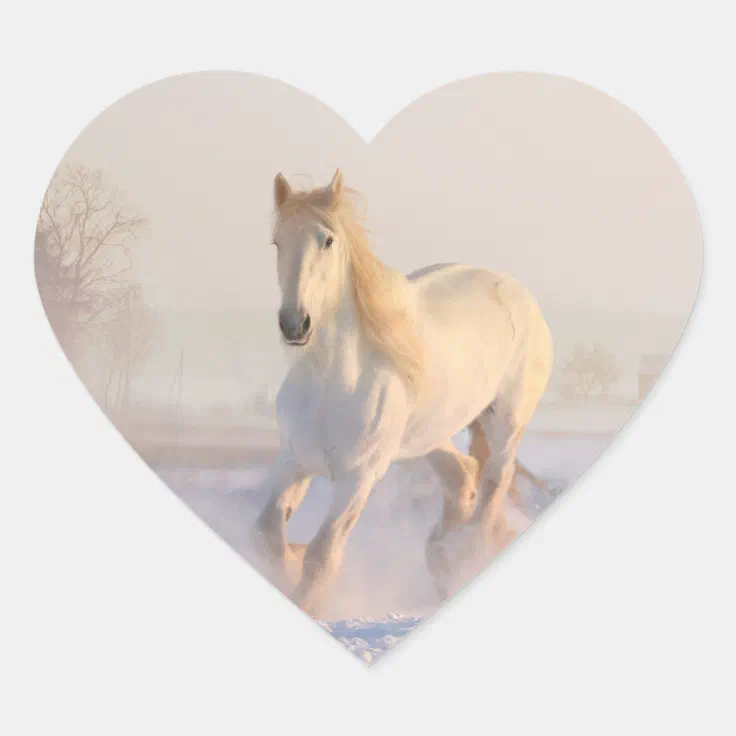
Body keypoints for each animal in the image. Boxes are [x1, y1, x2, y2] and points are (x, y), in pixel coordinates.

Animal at [249, 169, 553, 617]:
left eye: (327, 240)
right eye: (277, 242)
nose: (294, 324)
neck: (330, 383)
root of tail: (519, 293)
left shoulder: (359, 478)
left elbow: (322, 556)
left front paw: (308, 600)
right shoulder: (293, 461)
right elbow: (267, 535)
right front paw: (289, 565)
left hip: (506, 423)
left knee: (494, 483)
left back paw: (459, 556)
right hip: (426, 436)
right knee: (462, 474)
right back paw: (442, 557)